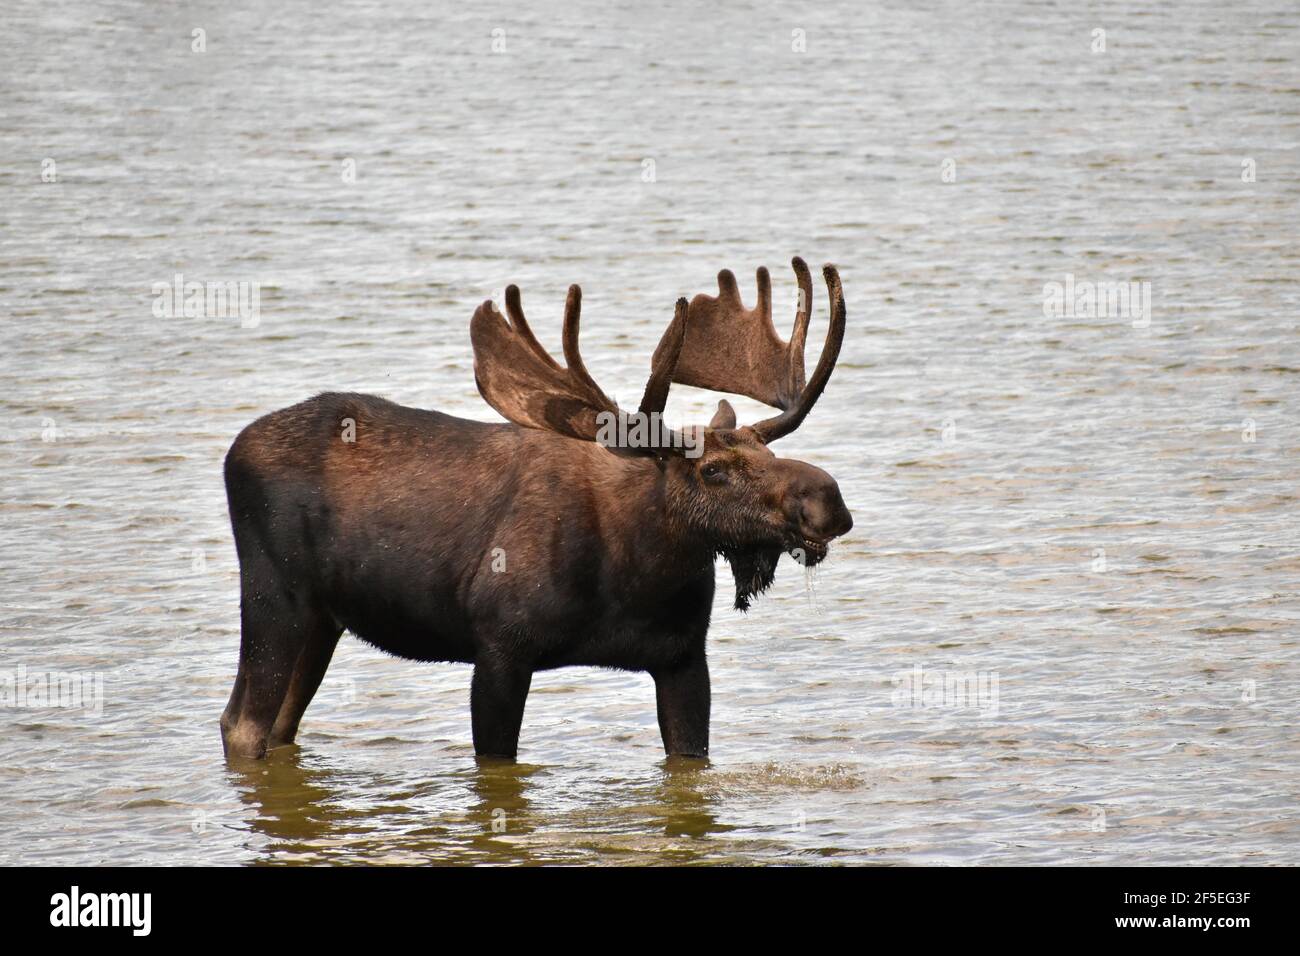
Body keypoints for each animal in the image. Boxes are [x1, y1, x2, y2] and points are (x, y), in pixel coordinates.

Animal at [219, 257, 852, 761]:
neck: (639, 575)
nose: (829, 499)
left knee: (277, 726)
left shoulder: (682, 658)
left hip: (324, 618)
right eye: (712, 470)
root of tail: (234, 450)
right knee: (241, 723)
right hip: (275, 592)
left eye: (767, 451)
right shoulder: (500, 648)